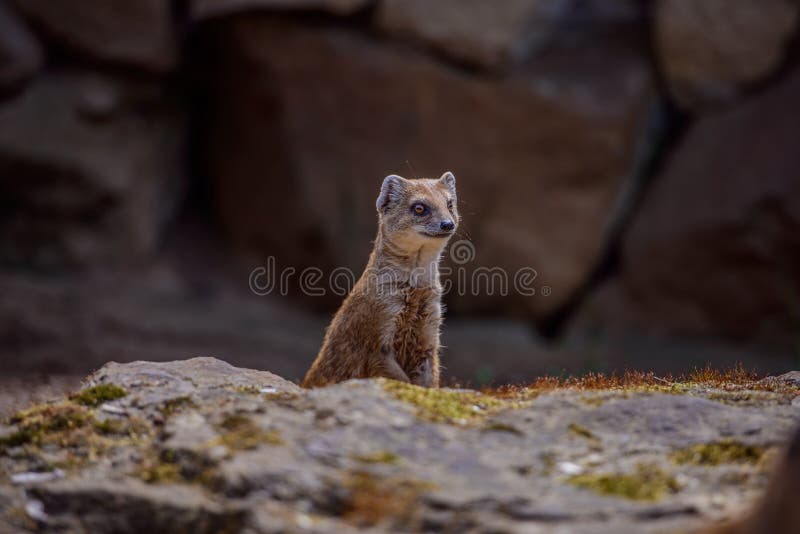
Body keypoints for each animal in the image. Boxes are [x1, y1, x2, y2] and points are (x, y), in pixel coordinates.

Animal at [302, 171, 459, 388]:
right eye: (419, 207)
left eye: (450, 204)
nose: (448, 224)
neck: (415, 292)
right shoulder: (376, 337)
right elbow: (397, 378)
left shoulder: (430, 335)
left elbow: (429, 380)